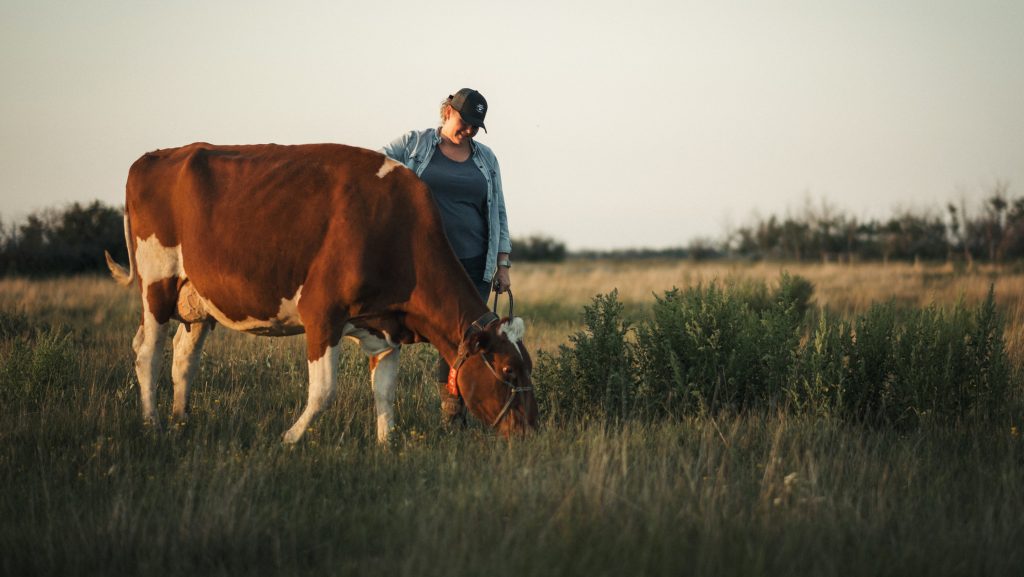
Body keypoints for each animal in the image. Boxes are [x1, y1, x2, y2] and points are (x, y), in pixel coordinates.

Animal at [104, 142, 537, 443]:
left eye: (529, 366)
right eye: (508, 370)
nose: (530, 431)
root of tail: (157, 155)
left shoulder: (384, 327)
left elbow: (385, 391)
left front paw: (388, 445)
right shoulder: (322, 313)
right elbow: (324, 390)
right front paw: (290, 438)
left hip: (197, 299)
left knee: (183, 357)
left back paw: (181, 420)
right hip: (157, 282)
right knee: (147, 352)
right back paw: (153, 425)